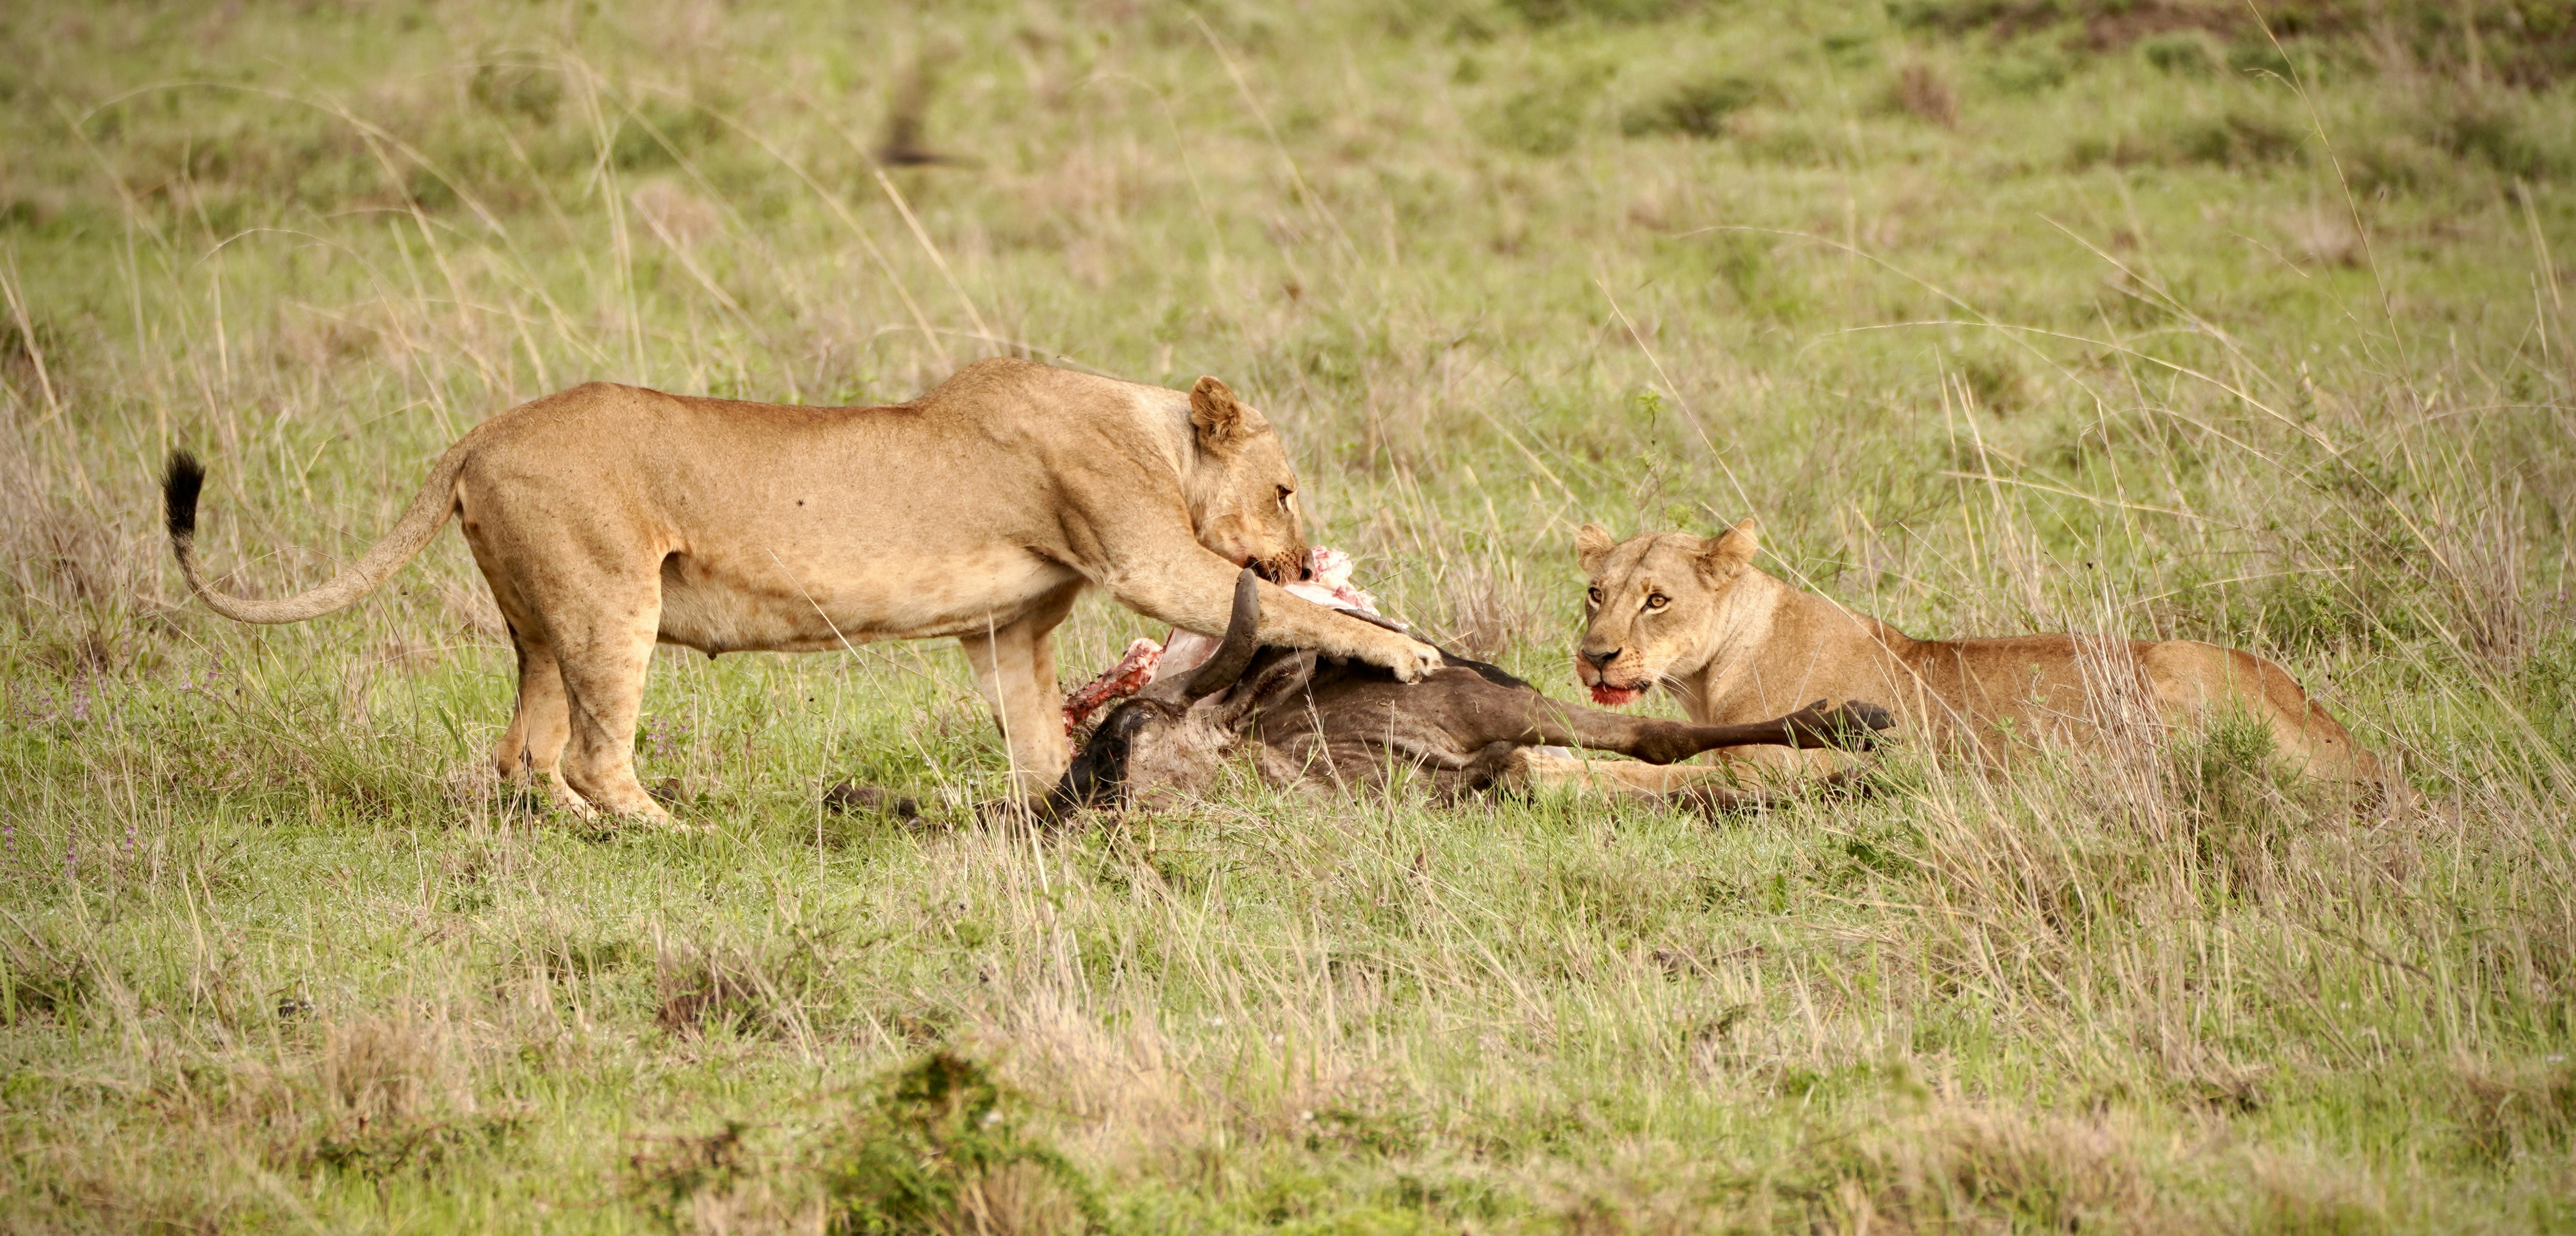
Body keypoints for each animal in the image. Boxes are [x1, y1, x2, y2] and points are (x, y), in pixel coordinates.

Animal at [162, 358, 1441, 824]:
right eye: (1285, 489)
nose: (1300, 548)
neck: (1147, 429)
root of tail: (480, 436)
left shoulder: (1003, 628)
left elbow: (1031, 731)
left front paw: (1050, 807)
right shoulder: (1147, 558)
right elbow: (1278, 609)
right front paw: (1405, 645)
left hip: (539, 621)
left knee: (524, 750)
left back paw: (578, 828)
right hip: (610, 598)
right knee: (593, 750)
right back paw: (669, 831)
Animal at [1566, 519, 2387, 792]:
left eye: (1658, 600)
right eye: (1595, 593)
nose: (1595, 656)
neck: (1707, 676)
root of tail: (2354, 747)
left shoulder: (1771, 772)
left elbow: (1641, 776)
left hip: (2171, 667)